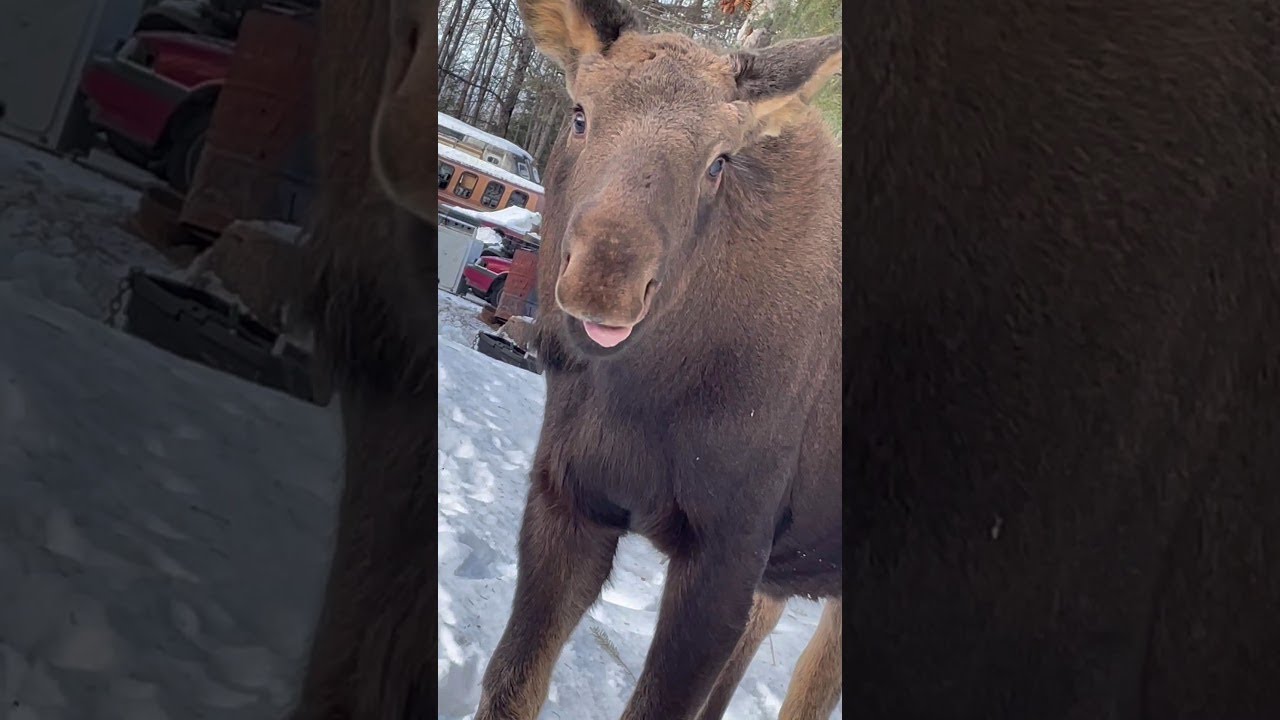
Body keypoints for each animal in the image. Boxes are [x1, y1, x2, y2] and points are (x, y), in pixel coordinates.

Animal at [474, 1, 843, 719]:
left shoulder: (728, 550)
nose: (605, 281)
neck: (643, 399)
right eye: (580, 114)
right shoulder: (566, 496)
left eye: (719, 161)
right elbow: (510, 682)